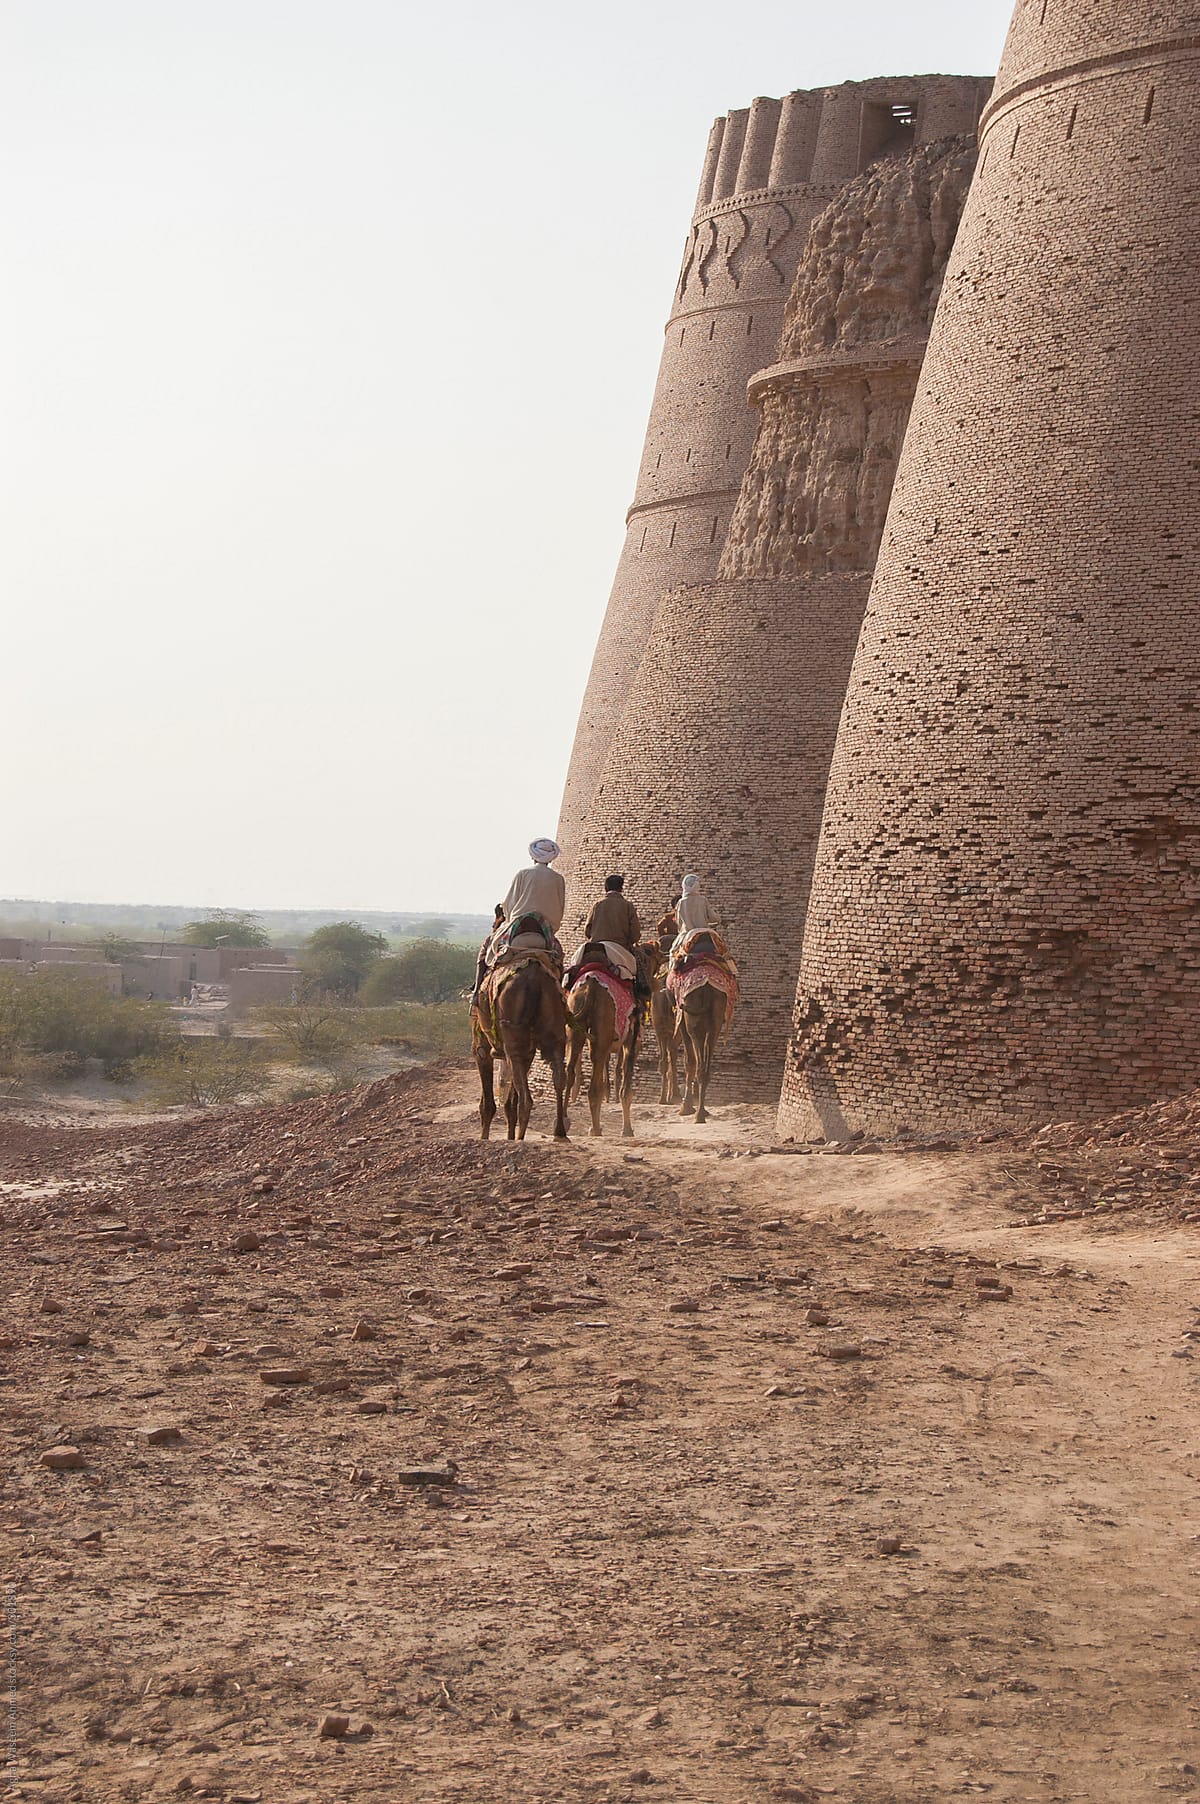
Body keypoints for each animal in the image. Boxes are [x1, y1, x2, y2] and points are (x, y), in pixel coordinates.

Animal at [474, 958, 568, 1141]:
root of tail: (535, 978)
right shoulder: (529, 1051)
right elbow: (510, 1102)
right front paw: (508, 1136)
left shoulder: (481, 1041)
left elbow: (488, 1104)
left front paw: (484, 1137)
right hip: (554, 1021)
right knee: (559, 1074)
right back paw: (560, 1133)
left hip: (511, 1027)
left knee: (525, 1097)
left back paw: (520, 1137)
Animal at [565, 945, 640, 1138]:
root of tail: (590, 988)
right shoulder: (631, 1041)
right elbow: (626, 1087)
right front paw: (627, 1129)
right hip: (604, 1023)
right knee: (594, 1085)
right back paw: (596, 1129)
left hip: (575, 1020)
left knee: (570, 1071)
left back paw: (564, 1123)